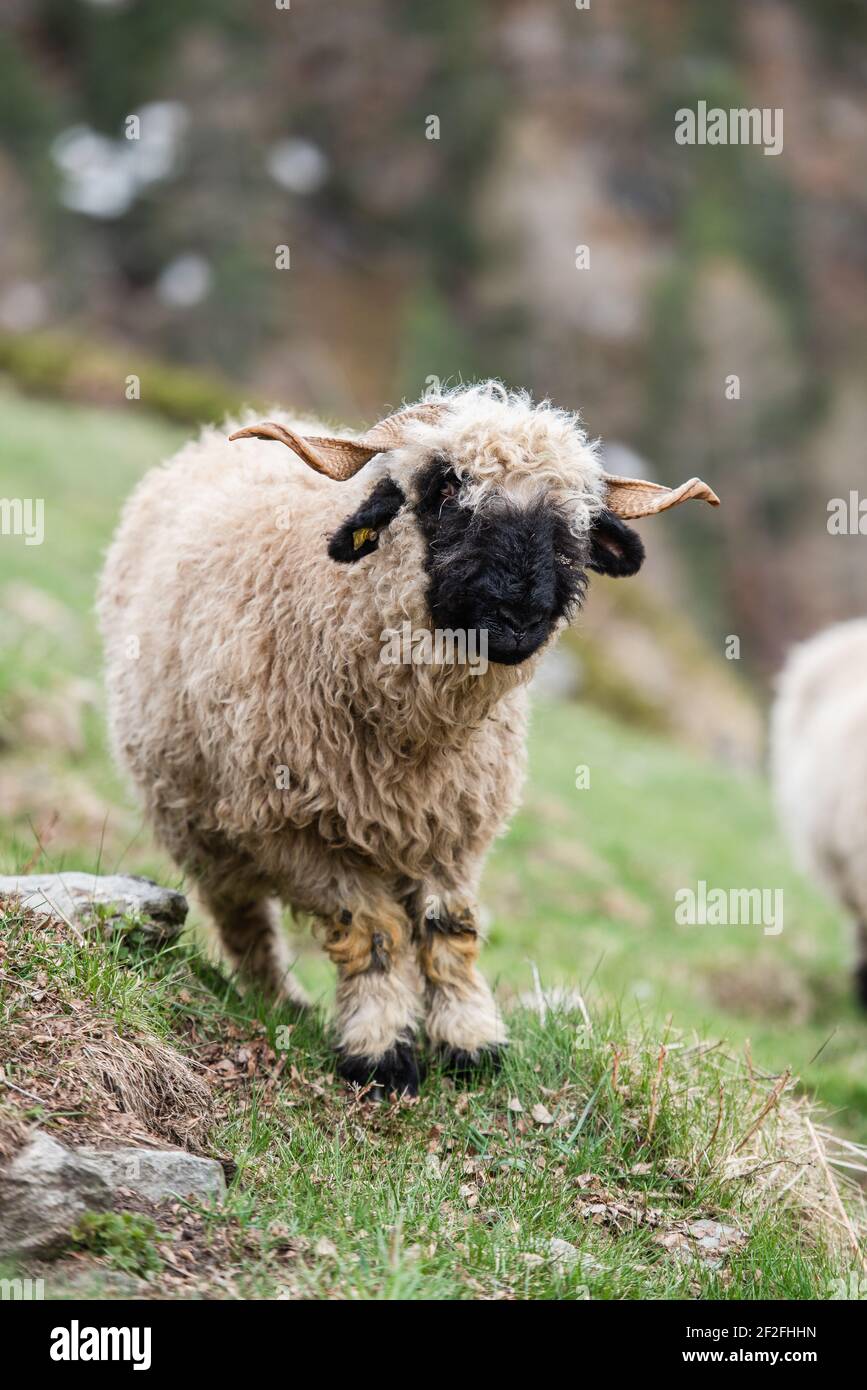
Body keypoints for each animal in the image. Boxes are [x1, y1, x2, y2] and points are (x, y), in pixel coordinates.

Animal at [98, 382, 719, 1094]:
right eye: (445, 490)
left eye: (575, 518)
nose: (520, 613)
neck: (411, 746)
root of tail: (211, 437)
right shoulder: (289, 830)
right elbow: (374, 930)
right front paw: (379, 1050)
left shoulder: (456, 829)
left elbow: (451, 928)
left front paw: (471, 1042)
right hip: (200, 822)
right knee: (242, 917)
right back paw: (278, 997)